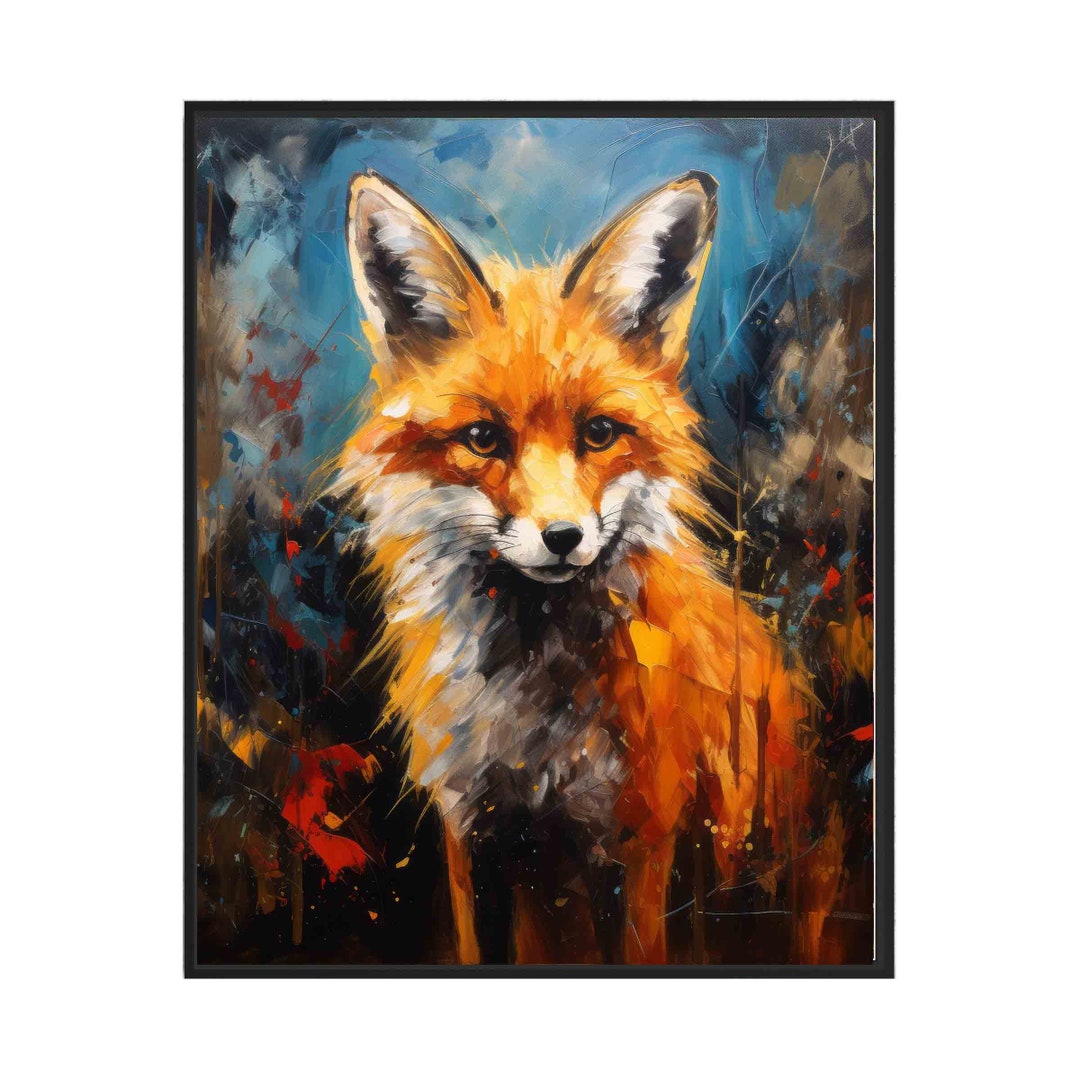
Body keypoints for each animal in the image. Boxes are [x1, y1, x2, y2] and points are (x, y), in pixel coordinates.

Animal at [327, 170, 844, 964]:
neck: (532, 718)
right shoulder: (471, 832)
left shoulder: (642, 840)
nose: (563, 537)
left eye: (599, 433)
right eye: (483, 439)